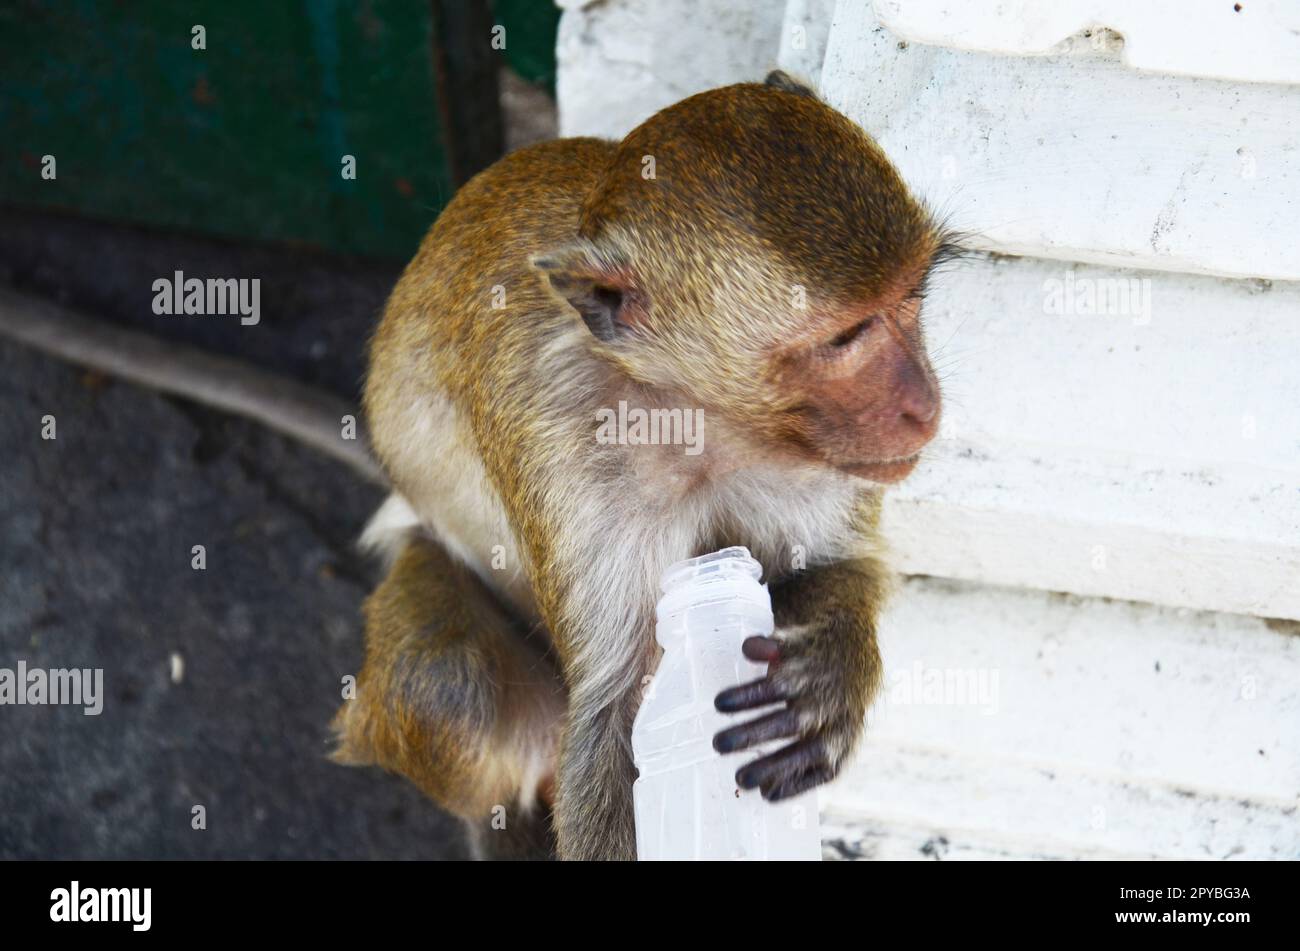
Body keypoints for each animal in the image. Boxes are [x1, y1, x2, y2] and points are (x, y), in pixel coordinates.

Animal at [329, 70, 953, 860]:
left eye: (912, 296)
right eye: (845, 337)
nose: (925, 406)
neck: (698, 419)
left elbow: (841, 564)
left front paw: (827, 679)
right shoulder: (565, 451)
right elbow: (615, 715)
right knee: (445, 685)